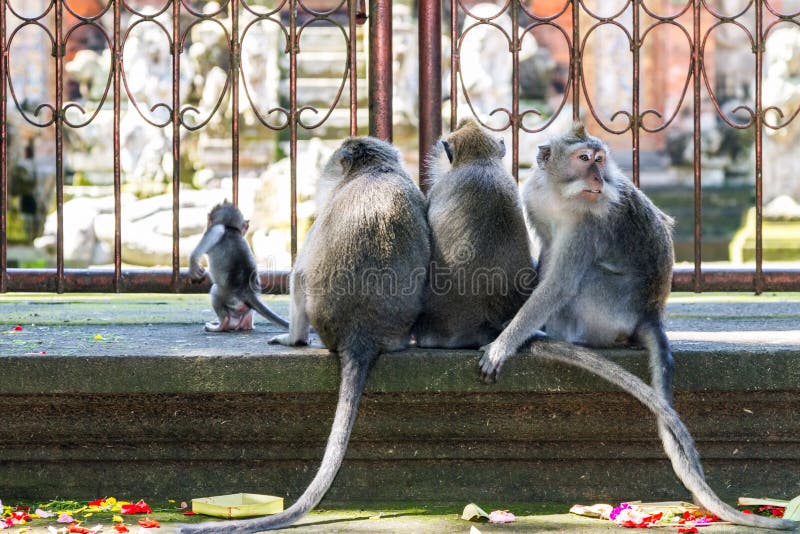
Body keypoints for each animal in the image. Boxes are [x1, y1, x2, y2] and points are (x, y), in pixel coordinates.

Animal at [188, 201, 289, 332]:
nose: (206, 226)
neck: (230, 228)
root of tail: (247, 291)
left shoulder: (216, 230)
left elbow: (199, 249)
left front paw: (193, 265)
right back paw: (246, 323)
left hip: (226, 295)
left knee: (215, 293)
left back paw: (220, 326)